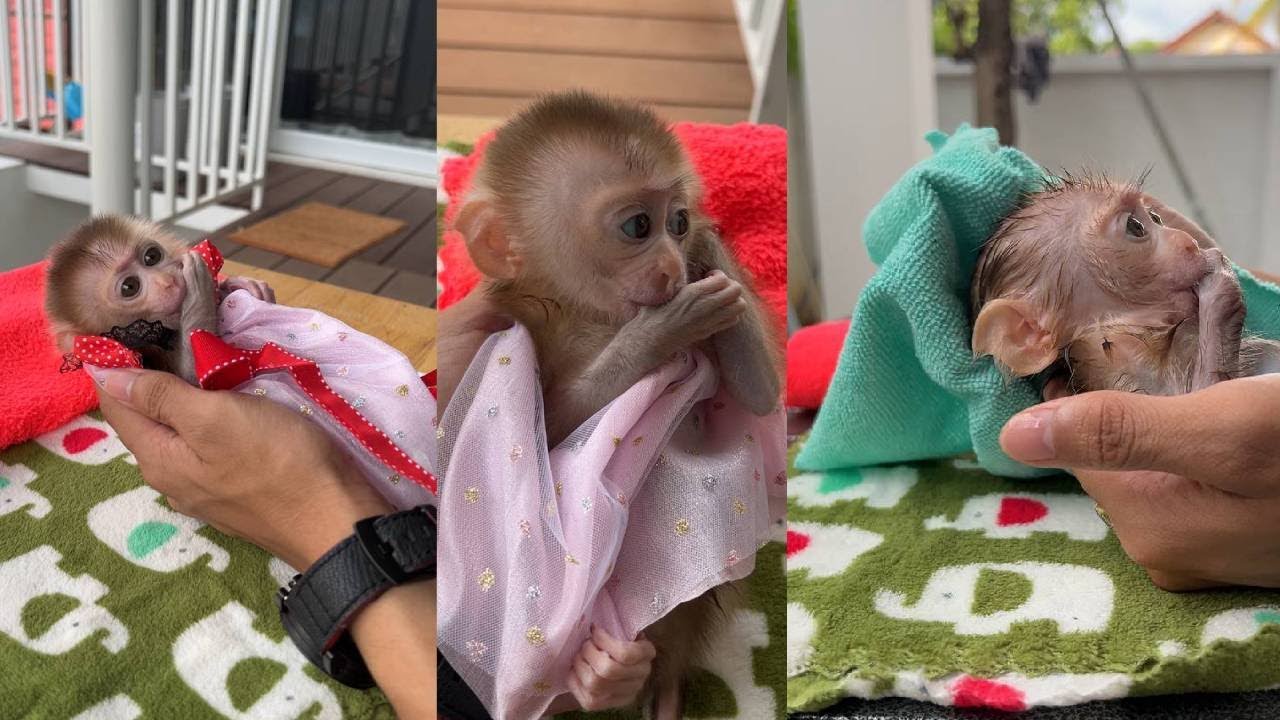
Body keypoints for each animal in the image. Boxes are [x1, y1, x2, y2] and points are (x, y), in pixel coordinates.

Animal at [45, 215, 274, 384]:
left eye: (152, 256)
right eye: (129, 287)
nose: (168, 281)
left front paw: (240, 284)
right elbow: (196, 378)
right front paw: (198, 290)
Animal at [446, 90, 782, 719]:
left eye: (677, 221)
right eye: (637, 226)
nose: (673, 265)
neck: (591, 315)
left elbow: (760, 393)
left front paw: (711, 252)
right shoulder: (528, 327)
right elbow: (551, 428)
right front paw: (666, 326)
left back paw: (631, 680)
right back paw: (600, 679)